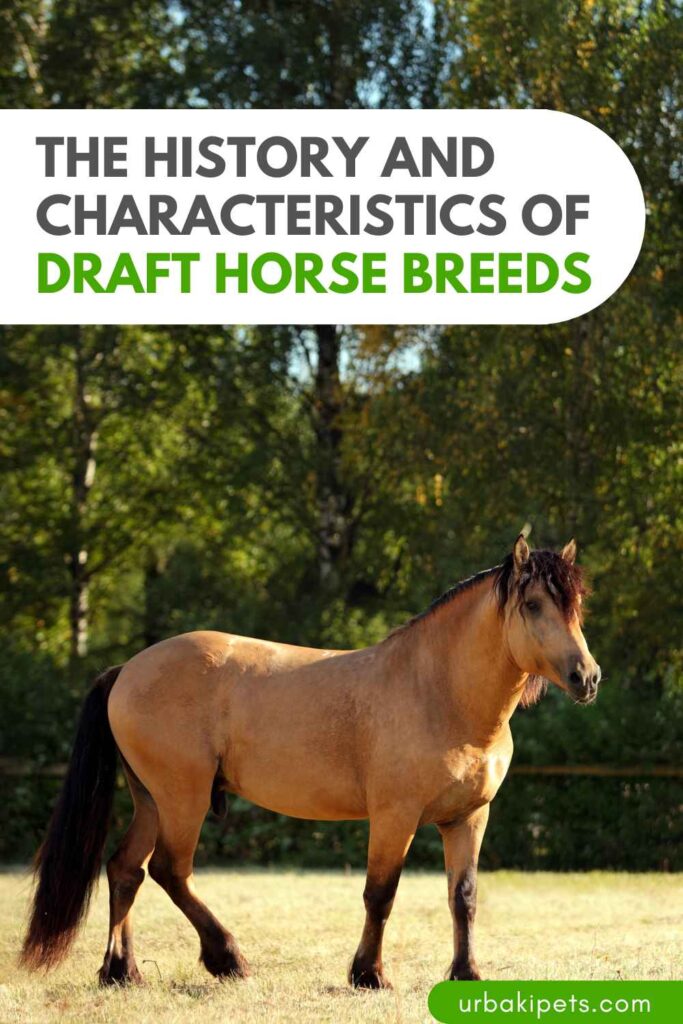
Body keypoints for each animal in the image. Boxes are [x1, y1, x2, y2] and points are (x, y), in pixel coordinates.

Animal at [21, 534, 600, 988]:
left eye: (575, 607)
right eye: (533, 605)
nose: (587, 677)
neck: (438, 692)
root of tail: (127, 669)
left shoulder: (467, 817)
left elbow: (464, 896)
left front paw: (466, 972)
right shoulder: (394, 817)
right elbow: (380, 894)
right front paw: (369, 974)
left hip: (151, 801)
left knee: (126, 870)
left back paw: (122, 971)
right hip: (181, 799)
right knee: (169, 870)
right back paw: (227, 958)